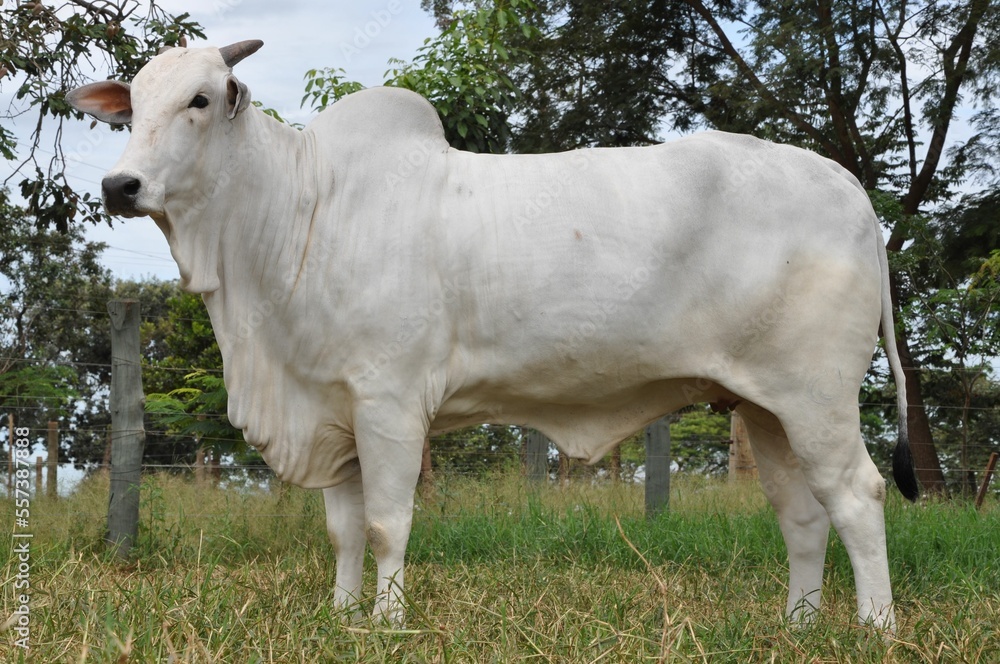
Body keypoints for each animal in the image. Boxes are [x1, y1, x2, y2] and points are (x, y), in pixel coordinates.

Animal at [68, 40, 918, 632]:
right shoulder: (333, 409)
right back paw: (797, 626)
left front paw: (387, 622)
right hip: (764, 407)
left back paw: (875, 628)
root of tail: (846, 185)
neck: (299, 209)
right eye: (131, 106)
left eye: (201, 99)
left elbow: (386, 524)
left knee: (859, 498)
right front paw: (342, 617)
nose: (120, 185)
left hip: (817, 398)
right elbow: (342, 532)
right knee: (804, 516)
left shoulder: (387, 402)